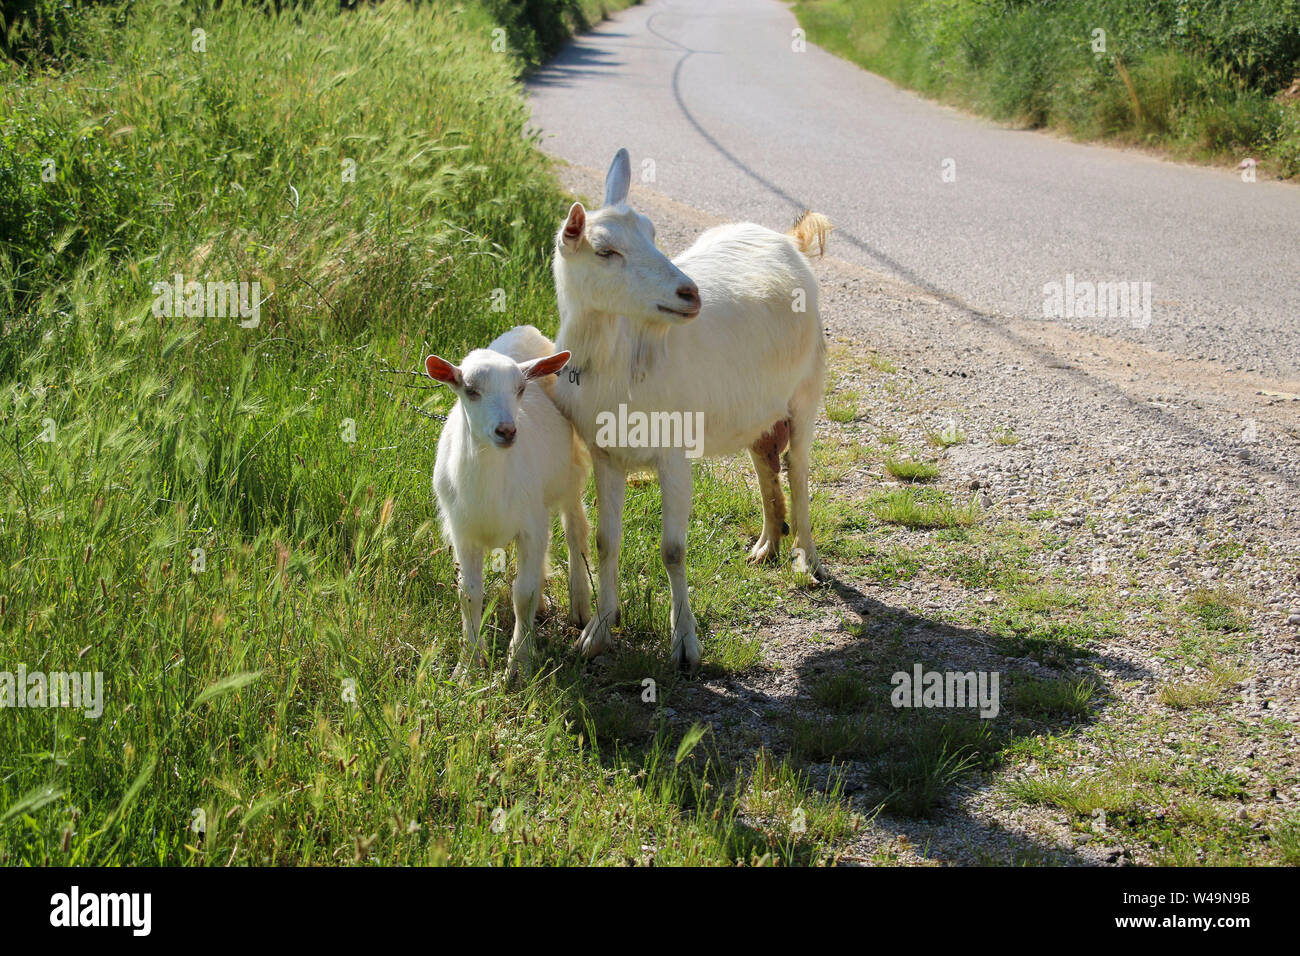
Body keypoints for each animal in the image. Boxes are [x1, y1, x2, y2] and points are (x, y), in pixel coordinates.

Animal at [426, 326, 592, 682]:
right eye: (470, 391)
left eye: (520, 389)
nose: (506, 431)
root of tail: (524, 331)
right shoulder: (463, 533)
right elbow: (469, 593)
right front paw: (468, 665)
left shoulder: (530, 526)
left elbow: (522, 595)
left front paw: (518, 664)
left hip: (569, 475)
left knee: (575, 532)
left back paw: (580, 608)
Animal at [550, 148, 830, 674]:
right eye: (605, 252)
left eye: (654, 233)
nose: (690, 293)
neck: (623, 354)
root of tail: (787, 239)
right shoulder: (605, 455)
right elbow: (605, 541)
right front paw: (599, 630)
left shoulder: (674, 454)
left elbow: (674, 551)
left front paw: (684, 643)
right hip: (754, 410)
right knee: (766, 460)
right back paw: (768, 543)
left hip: (806, 391)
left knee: (799, 469)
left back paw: (806, 558)